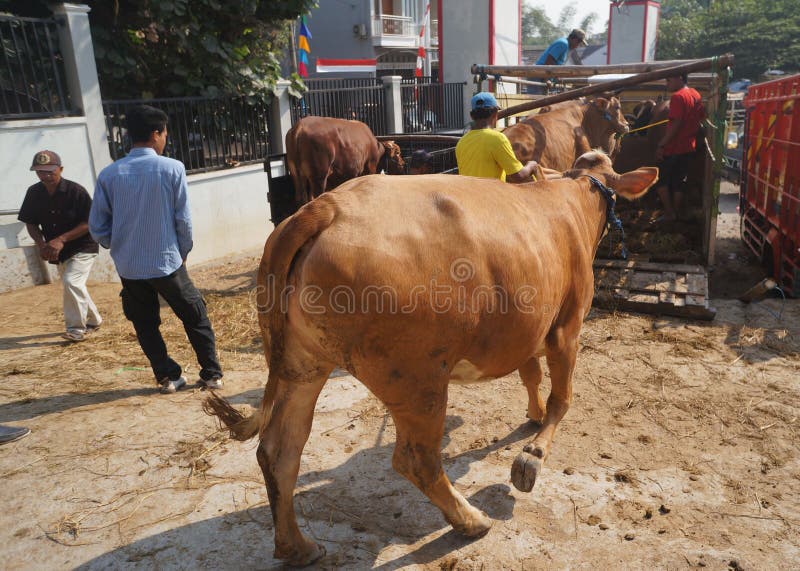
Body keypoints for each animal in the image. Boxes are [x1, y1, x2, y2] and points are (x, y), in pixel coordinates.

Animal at [205, 152, 658, 566]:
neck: (573, 197)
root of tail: (327, 205)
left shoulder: (525, 330)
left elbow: (530, 375)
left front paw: (533, 413)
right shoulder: (566, 326)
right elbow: (562, 398)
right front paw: (532, 456)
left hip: (303, 362)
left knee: (280, 451)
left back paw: (297, 547)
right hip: (416, 380)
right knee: (416, 459)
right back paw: (471, 520)